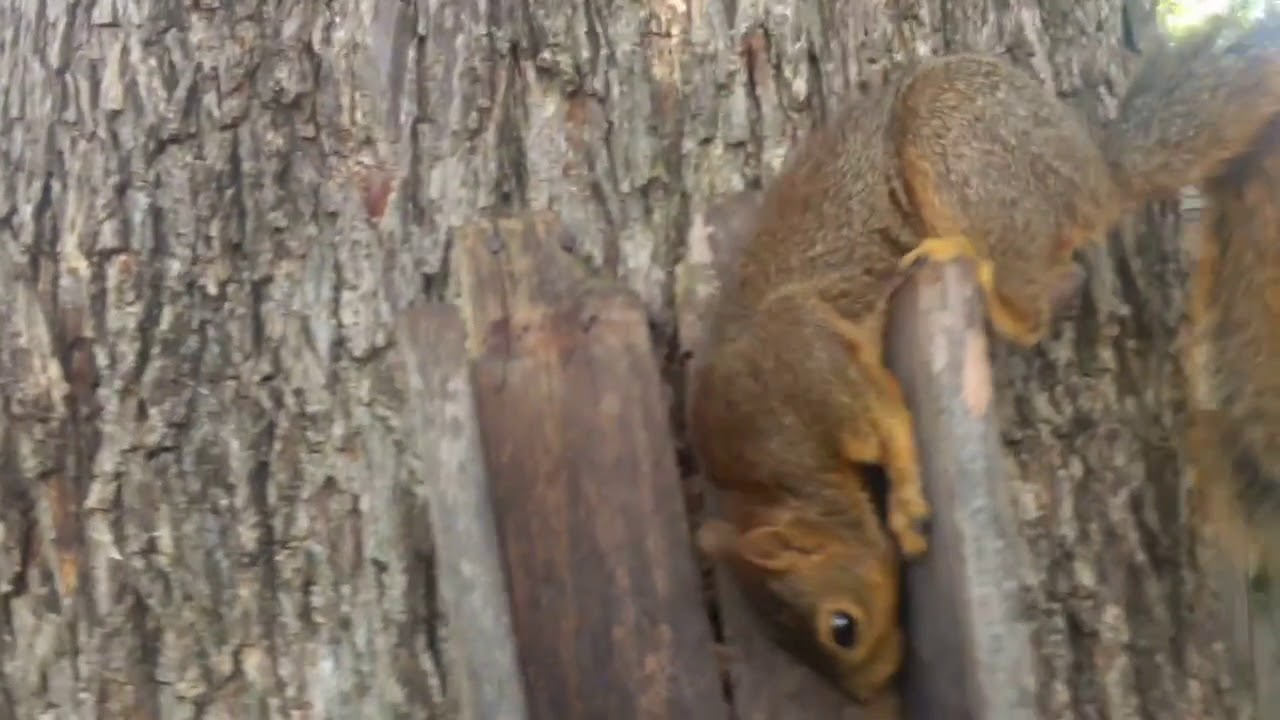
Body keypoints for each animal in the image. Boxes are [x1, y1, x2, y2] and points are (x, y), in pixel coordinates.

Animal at [687, 15, 1280, 703]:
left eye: (842, 628)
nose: (878, 695)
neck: (773, 476)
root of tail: (1096, 174)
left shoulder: (808, 363)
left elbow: (888, 423)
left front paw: (907, 507)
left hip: (958, 145)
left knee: (1046, 287)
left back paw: (970, 264)